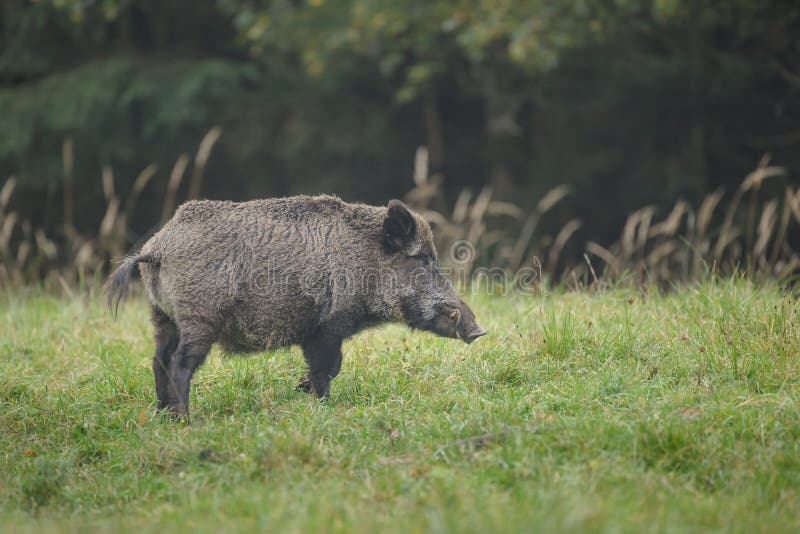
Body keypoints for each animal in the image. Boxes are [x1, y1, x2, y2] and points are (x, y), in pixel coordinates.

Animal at [106, 196, 486, 418]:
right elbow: (330, 367)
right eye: (422, 259)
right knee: (180, 363)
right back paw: (185, 419)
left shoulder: (317, 330)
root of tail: (155, 249)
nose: (478, 329)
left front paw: (302, 390)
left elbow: (328, 367)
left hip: (162, 317)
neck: (365, 259)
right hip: (198, 315)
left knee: (158, 360)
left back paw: (162, 415)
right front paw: (315, 399)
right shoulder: (327, 325)